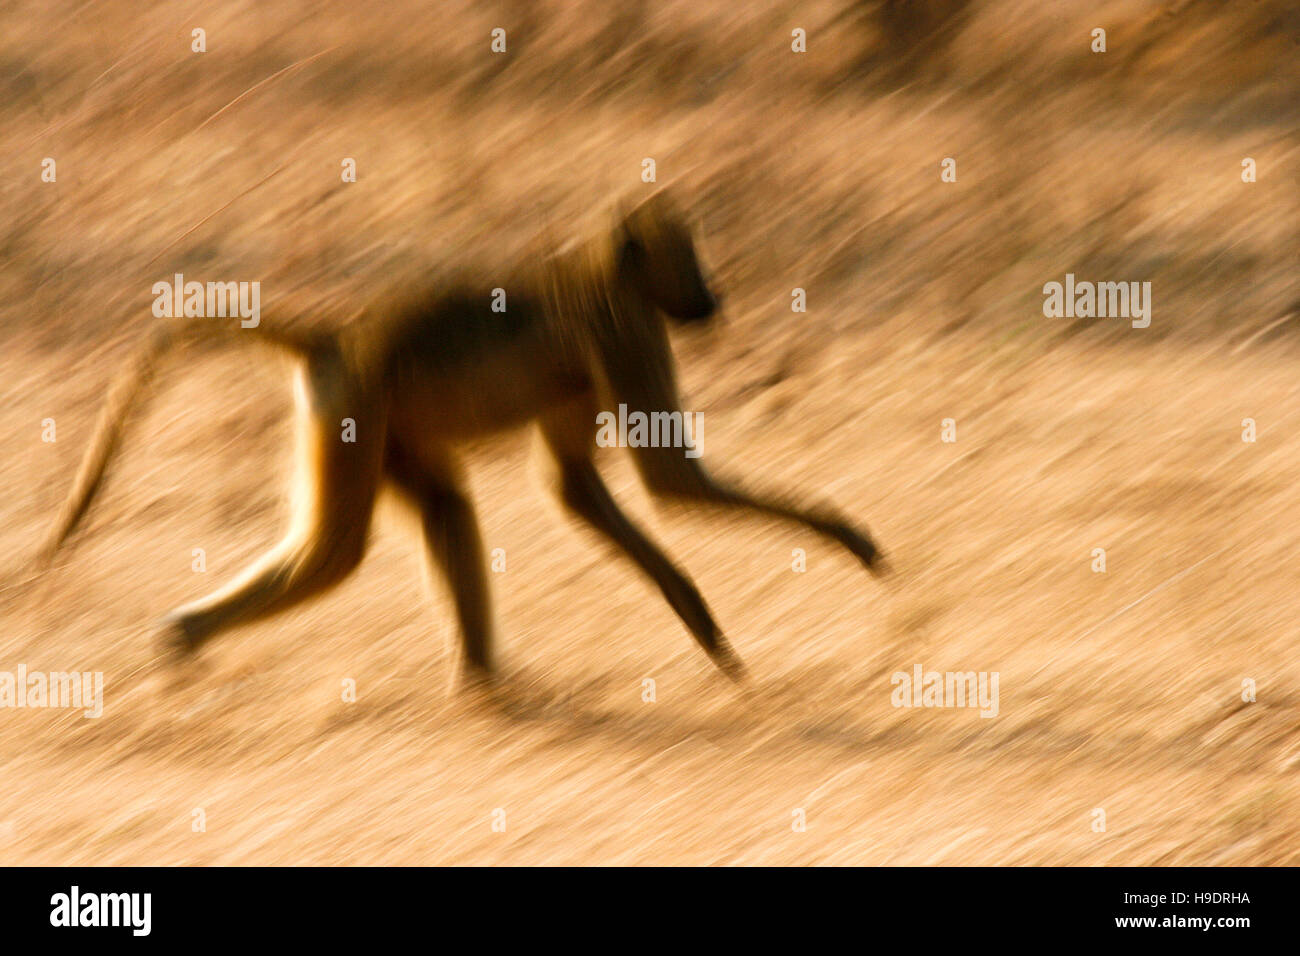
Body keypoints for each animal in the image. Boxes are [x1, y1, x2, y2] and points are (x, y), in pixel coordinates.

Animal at [43, 188, 885, 684]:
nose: (714, 300)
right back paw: (191, 636)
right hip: (352, 408)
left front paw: (703, 626)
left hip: (381, 426)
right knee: (336, 553)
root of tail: (337, 336)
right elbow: (670, 480)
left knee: (444, 508)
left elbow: (575, 488)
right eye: (693, 262)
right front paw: (847, 537)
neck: (602, 269)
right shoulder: (631, 332)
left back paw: (480, 680)